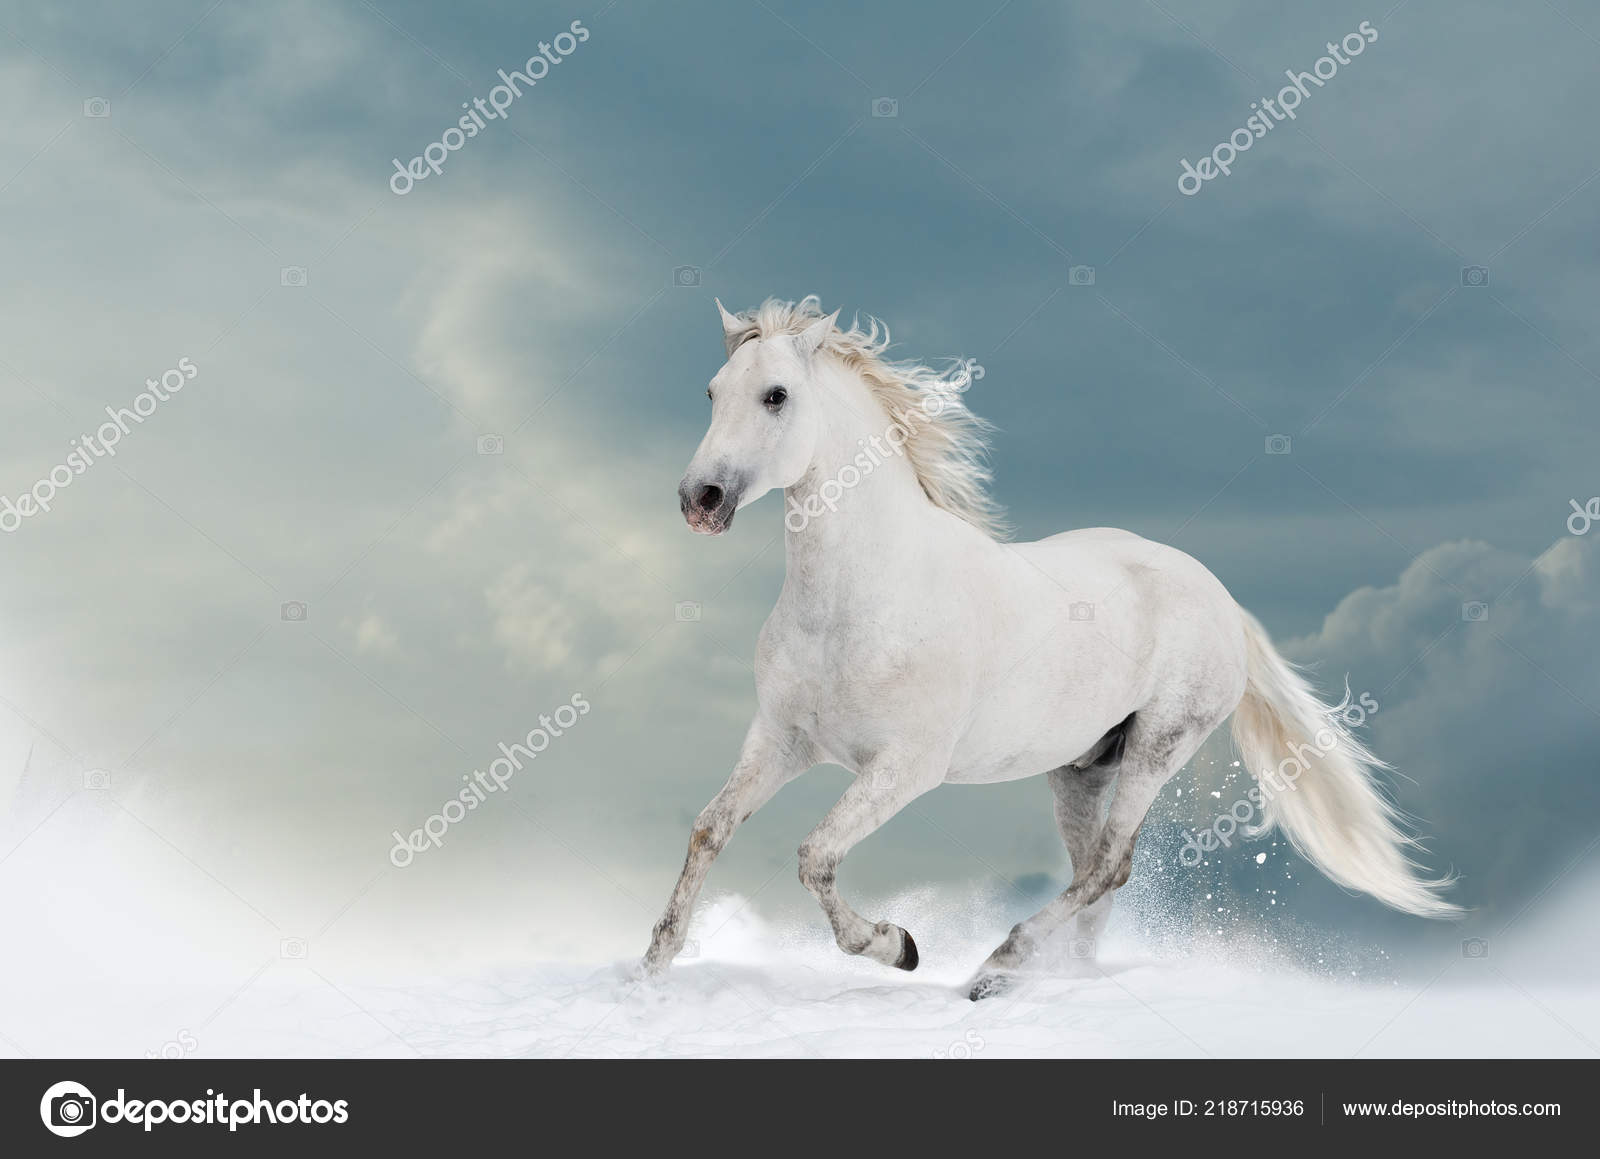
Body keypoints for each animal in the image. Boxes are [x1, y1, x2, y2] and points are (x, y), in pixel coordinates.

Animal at [642, 295, 1457, 1000]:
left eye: (776, 395)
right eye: (713, 392)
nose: (699, 500)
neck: (856, 599)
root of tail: (1222, 600)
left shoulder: (904, 767)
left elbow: (815, 857)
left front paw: (900, 947)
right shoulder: (781, 741)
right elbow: (710, 828)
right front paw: (653, 965)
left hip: (1160, 746)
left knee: (1107, 869)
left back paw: (997, 966)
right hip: (1081, 769)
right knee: (1094, 876)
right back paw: (1048, 975)